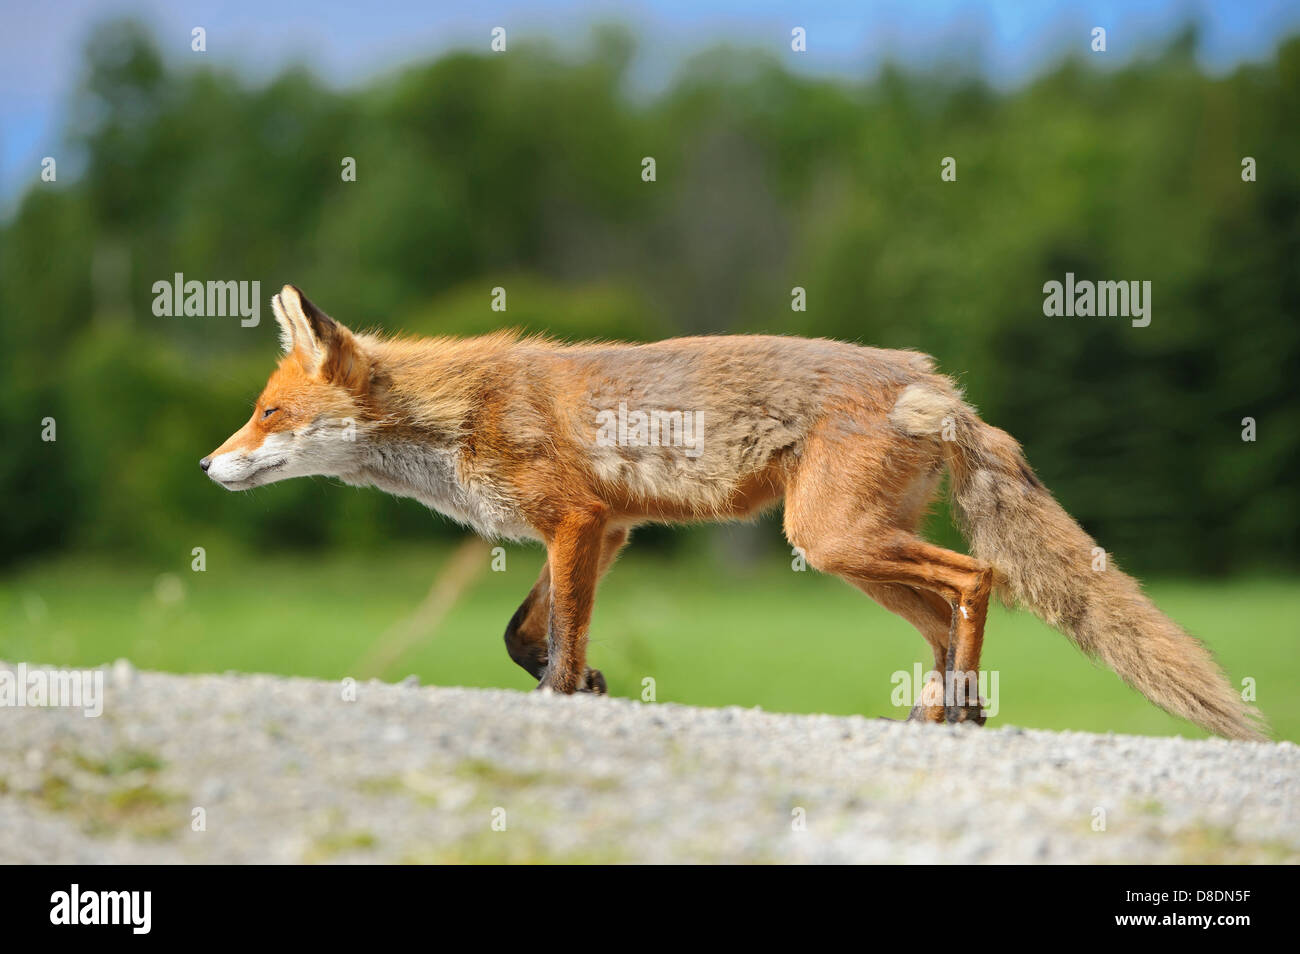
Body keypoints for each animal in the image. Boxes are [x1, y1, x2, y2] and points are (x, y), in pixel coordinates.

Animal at [204, 284, 1267, 740]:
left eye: (267, 415)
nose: (210, 464)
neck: (461, 412)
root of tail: (936, 385)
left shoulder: (574, 524)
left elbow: (559, 641)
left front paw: (565, 700)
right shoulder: (608, 529)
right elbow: (526, 634)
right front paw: (587, 686)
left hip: (834, 540)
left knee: (982, 576)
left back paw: (962, 712)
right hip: (857, 552)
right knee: (946, 613)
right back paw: (937, 713)